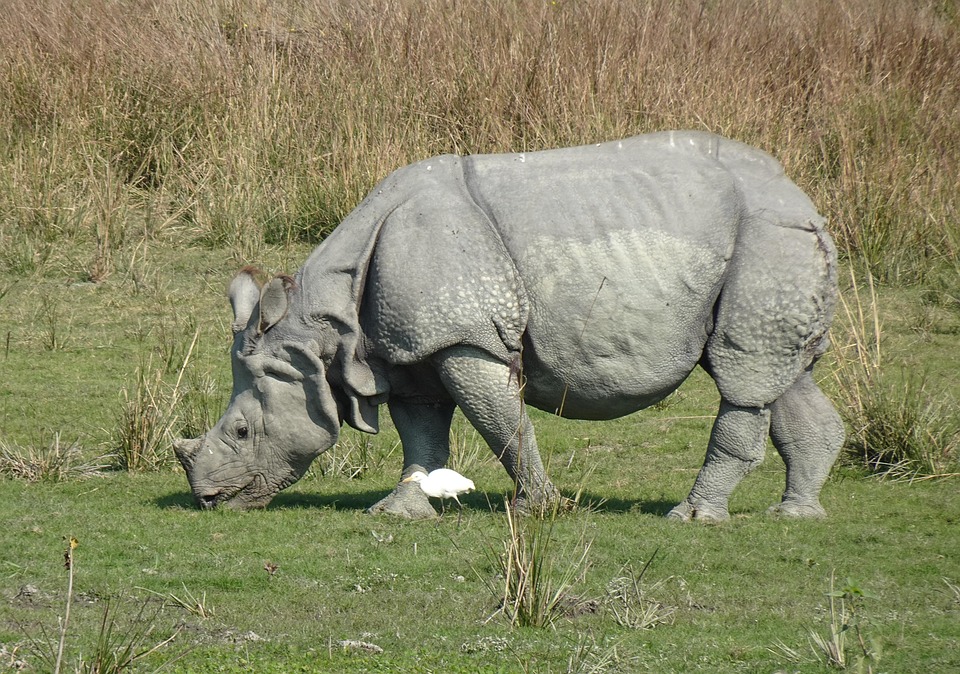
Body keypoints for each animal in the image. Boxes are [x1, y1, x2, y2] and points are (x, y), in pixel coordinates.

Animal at [174, 130, 844, 521]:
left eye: (240, 430)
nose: (206, 499)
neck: (322, 333)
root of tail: (803, 195)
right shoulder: (407, 347)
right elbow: (422, 433)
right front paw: (399, 511)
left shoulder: (462, 337)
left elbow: (503, 423)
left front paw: (537, 511)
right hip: (773, 246)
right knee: (778, 374)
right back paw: (796, 515)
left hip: (767, 235)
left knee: (741, 374)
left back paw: (692, 517)